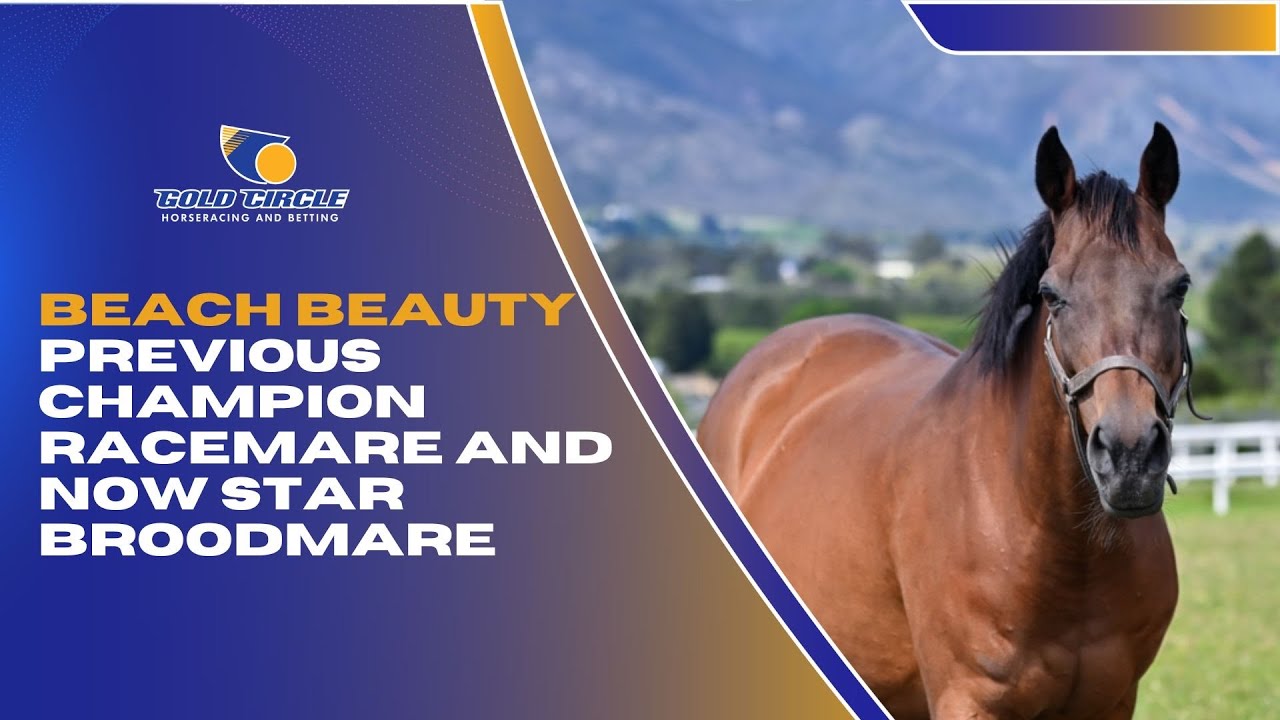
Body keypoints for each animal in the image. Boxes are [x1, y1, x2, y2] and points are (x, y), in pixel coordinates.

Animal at [697, 123, 1208, 719]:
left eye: (1179, 286)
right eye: (1053, 293)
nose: (1129, 456)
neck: (1059, 542)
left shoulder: (1111, 701)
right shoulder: (968, 699)